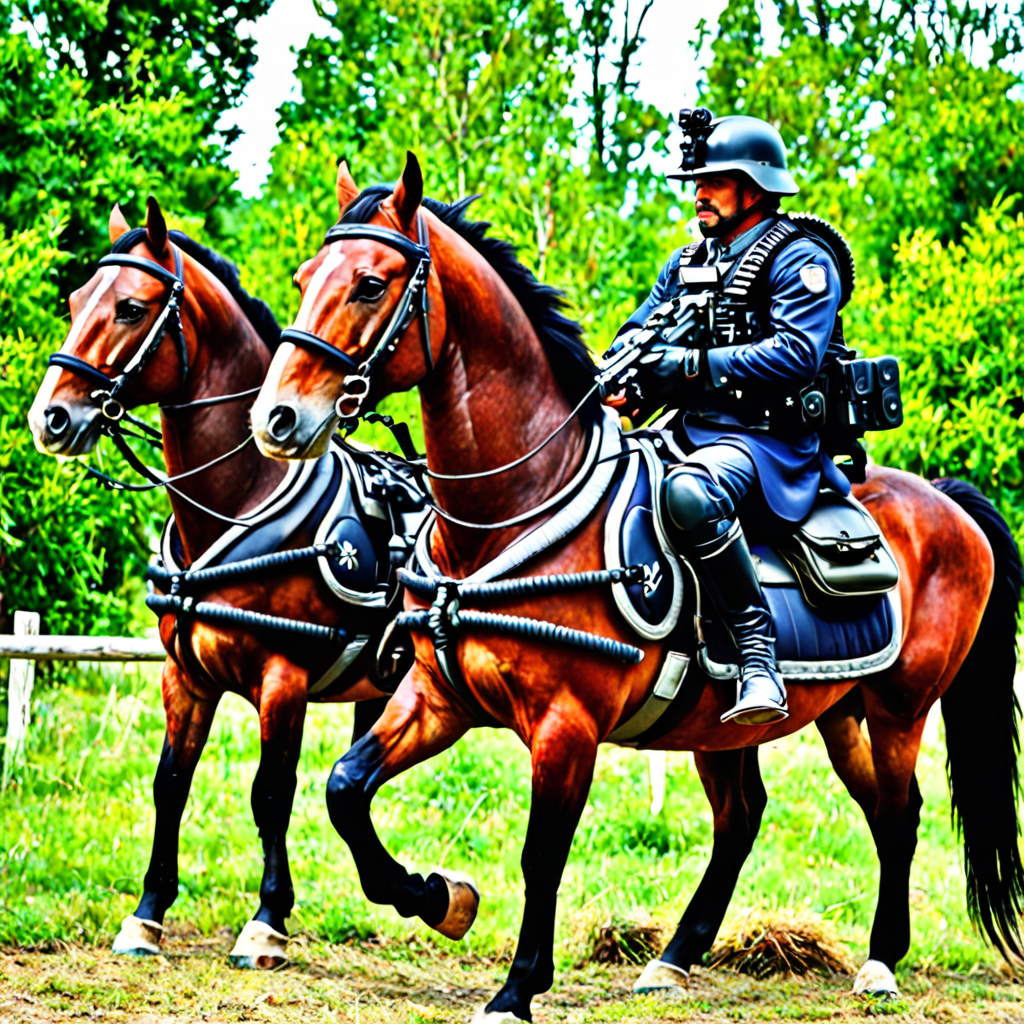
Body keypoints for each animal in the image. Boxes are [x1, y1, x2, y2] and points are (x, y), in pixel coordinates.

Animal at [27, 199, 411, 968]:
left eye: (131, 307)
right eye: (76, 301)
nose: (49, 417)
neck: (240, 500)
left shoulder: (282, 679)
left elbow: (271, 793)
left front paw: (267, 921)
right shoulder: (185, 676)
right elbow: (169, 783)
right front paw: (146, 914)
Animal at [250, 154, 1022, 1022]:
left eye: (371, 284)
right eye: (305, 277)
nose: (277, 418)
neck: (512, 511)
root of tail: (944, 500)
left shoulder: (565, 727)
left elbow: (541, 853)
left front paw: (516, 986)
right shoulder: (436, 698)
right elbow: (345, 791)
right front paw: (438, 898)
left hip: (895, 710)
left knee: (897, 815)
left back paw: (882, 960)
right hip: (799, 718)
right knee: (748, 819)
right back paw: (676, 957)